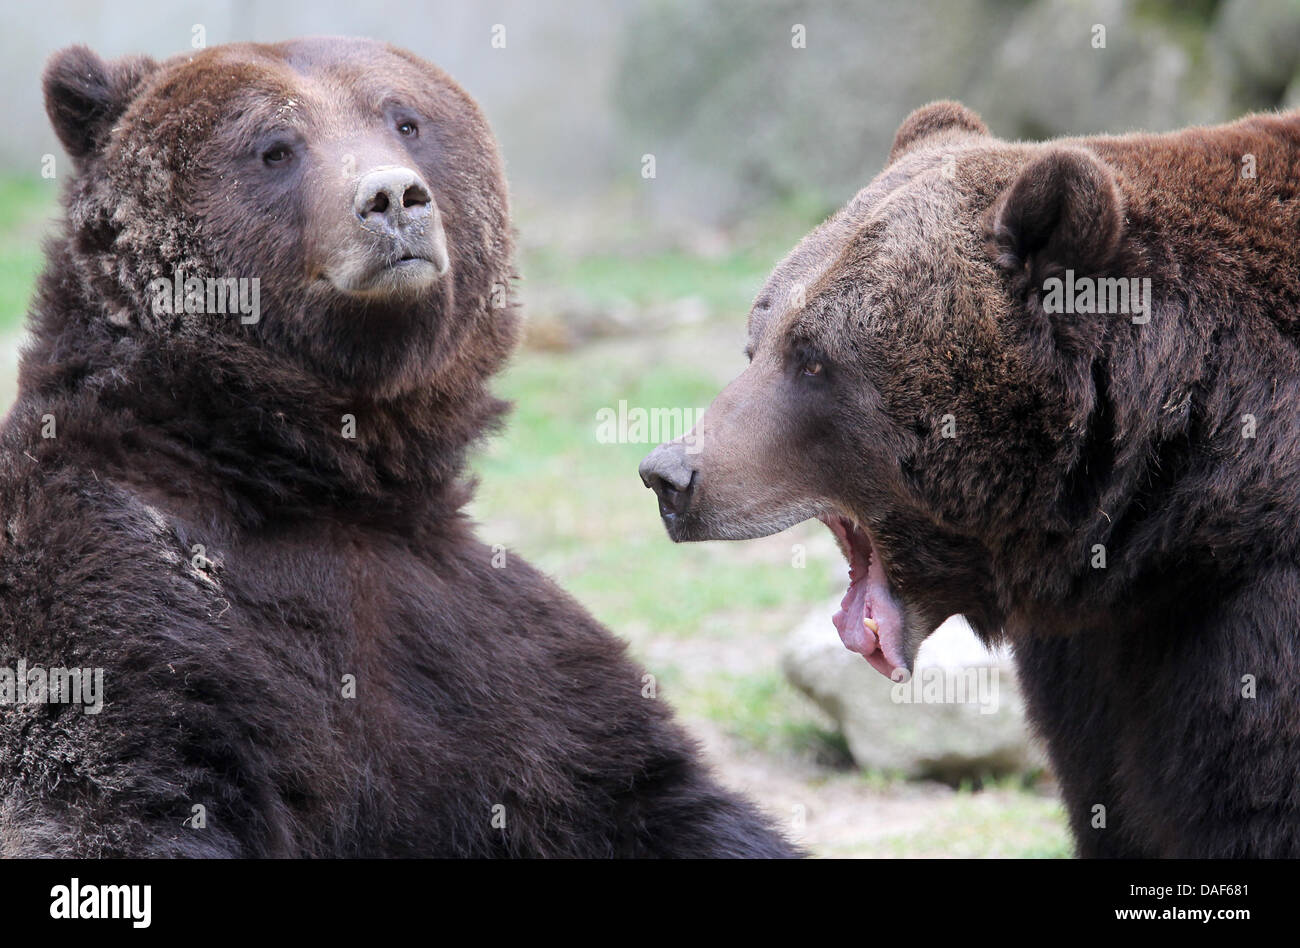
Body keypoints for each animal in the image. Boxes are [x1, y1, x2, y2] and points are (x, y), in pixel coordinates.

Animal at [0, 38, 797, 858]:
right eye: (273, 147)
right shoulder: (117, 582)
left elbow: (647, 790)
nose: (392, 197)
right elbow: (114, 787)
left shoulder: (479, 636)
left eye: (405, 120)